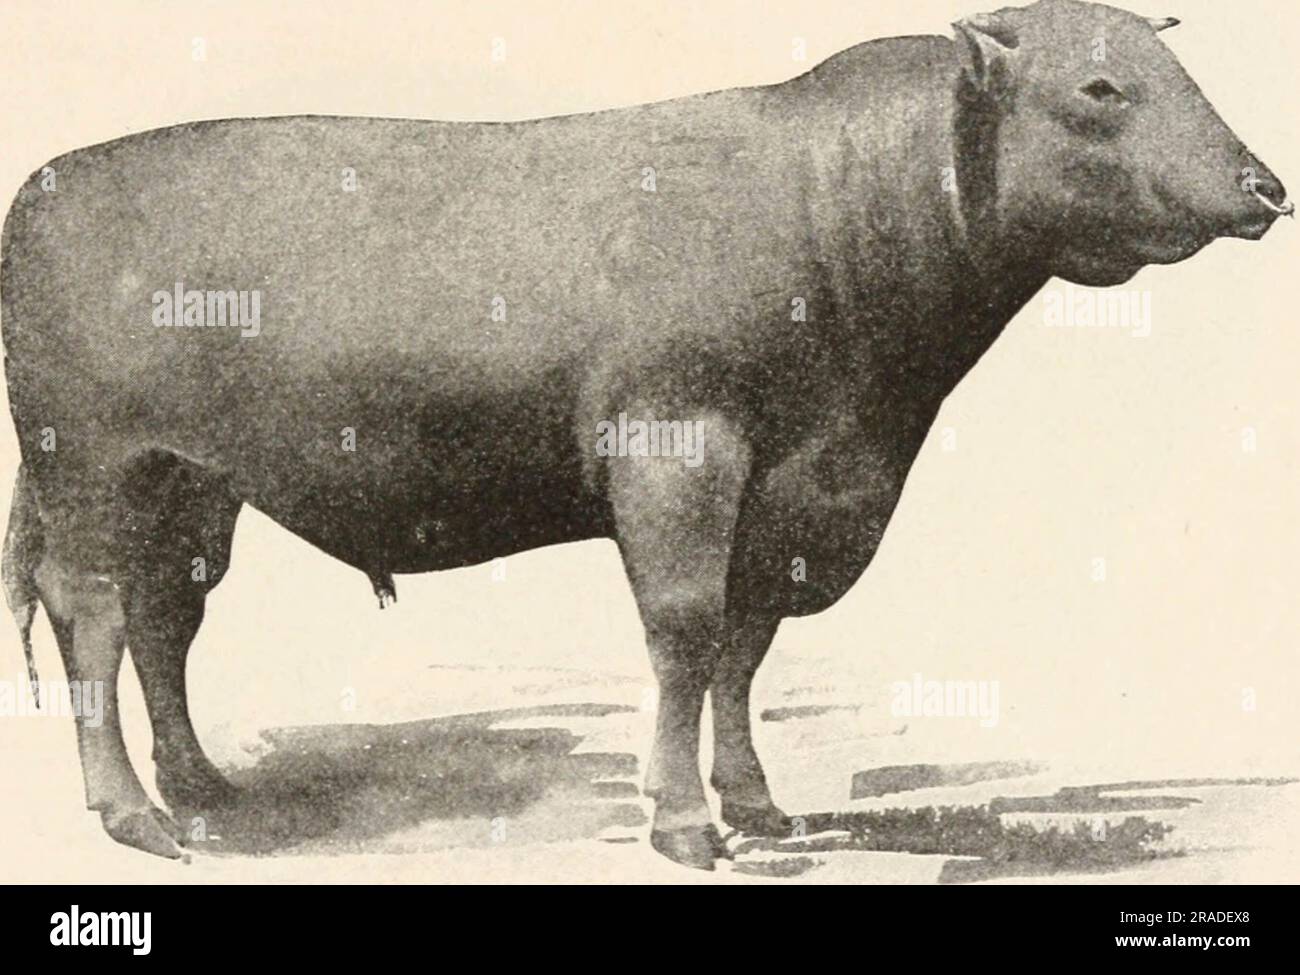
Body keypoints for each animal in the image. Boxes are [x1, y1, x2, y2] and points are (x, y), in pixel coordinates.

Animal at [1, 0, 1290, 870]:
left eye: (1177, 66)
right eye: (1101, 90)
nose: (1264, 185)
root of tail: (53, 177)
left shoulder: (793, 495)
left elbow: (742, 642)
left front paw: (755, 804)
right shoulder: (680, 447)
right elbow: (682, 631)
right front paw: (681, 820)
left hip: (188, 480)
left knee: (167, 614)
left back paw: (202, 788)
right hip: (89, 463)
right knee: (92, 612)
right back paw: (131, 811)